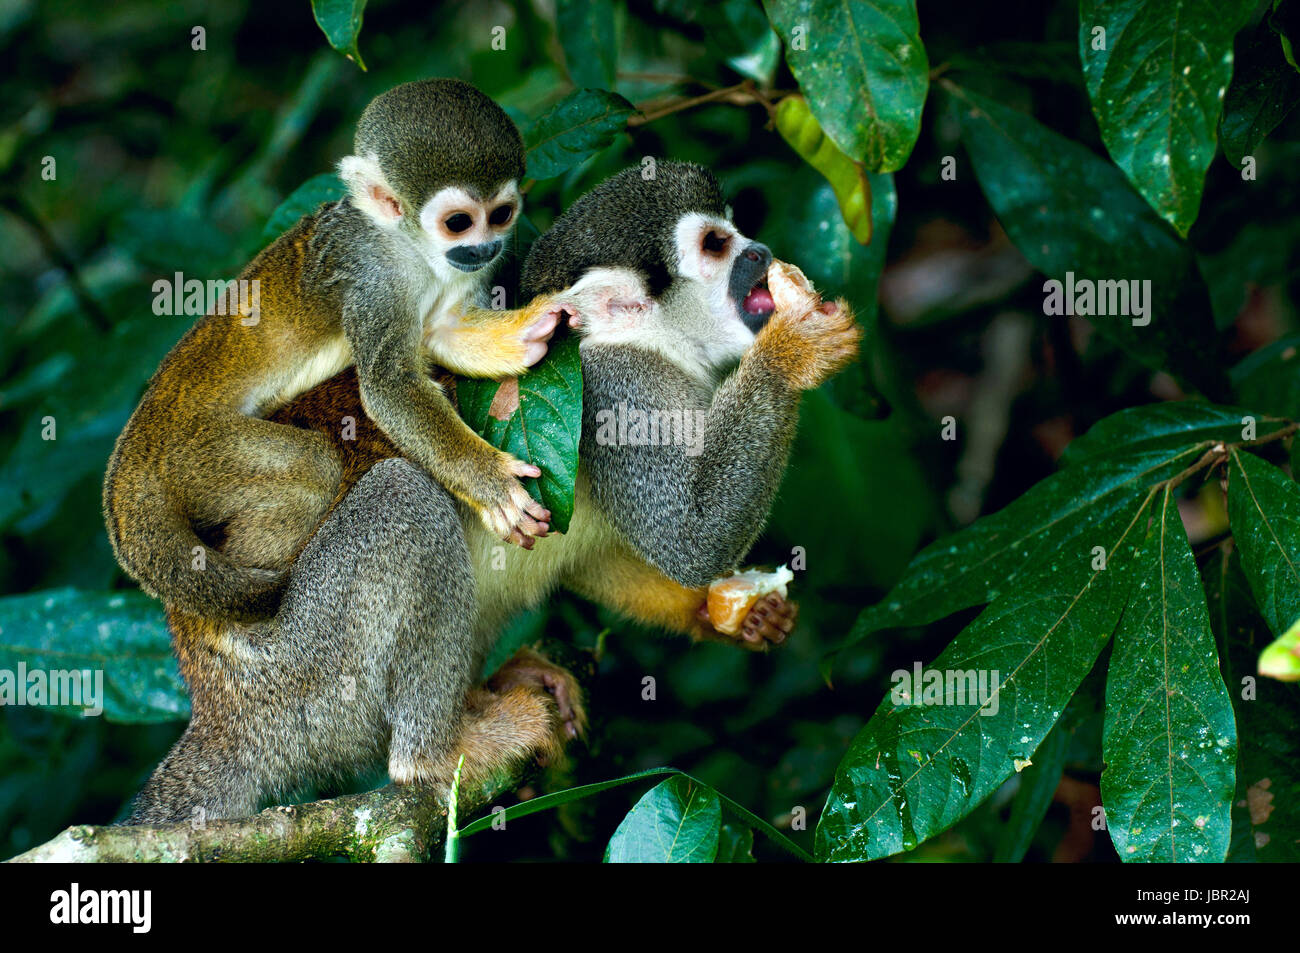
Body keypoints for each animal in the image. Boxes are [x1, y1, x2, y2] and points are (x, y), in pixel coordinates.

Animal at [103, 78, 573, 626]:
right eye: (459, 222)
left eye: (500, 216)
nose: (485, 249)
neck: (409, 247)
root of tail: (135, 449)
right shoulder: (372, 278)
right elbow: (390, 386)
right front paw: (490, 483)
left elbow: (441, 330)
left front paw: (530, 330)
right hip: (195, 454)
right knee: (313, 469)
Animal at [125, 161, 861, 825]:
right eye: (715, 244)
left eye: (735, 230)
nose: (761, 252)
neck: (654, 343)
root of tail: (220, 711)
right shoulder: (620, 392)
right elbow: (689, 538)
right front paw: (794, 348)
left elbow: (601, 555)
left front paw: (723, 611)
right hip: (305, 680)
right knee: (404, 499)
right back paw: (434, 752)